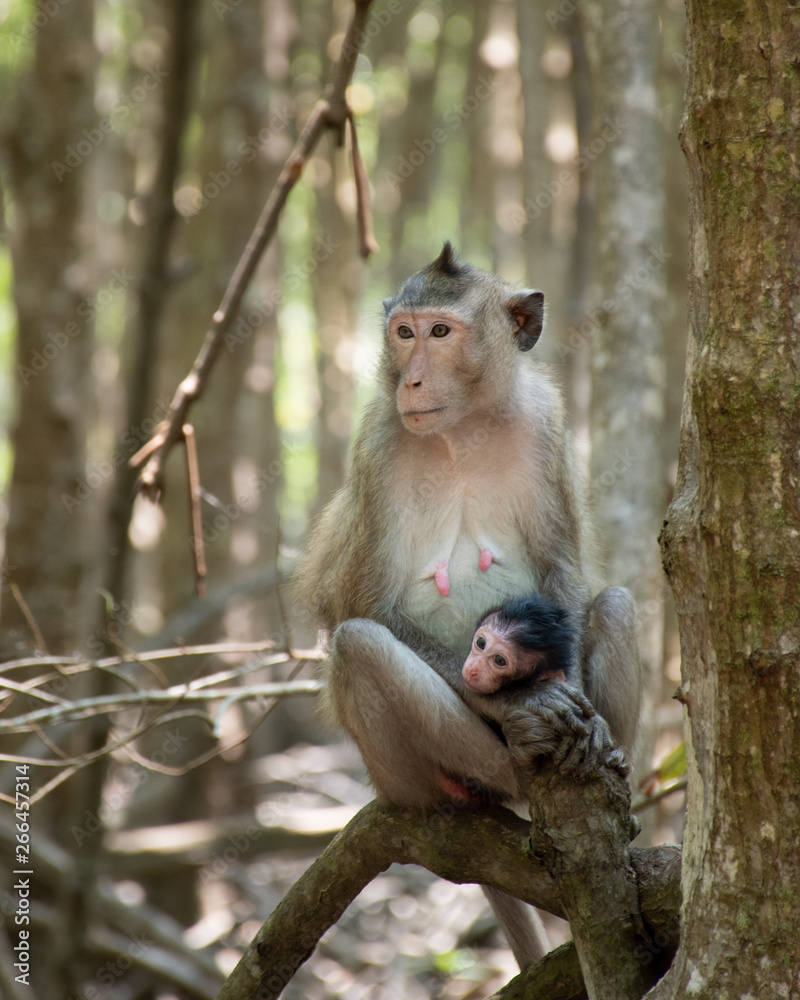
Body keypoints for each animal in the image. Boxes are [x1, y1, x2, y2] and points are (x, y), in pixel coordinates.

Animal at [295, 243, 641, 966]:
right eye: (404, 333)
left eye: (440, 332)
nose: (412, 381)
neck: (465, 428)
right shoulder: (376, 447)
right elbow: (363, 606)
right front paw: (522, 707)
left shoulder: (546, 424)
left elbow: (563, 574)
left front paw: (577, 710)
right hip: (398, 779)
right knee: (360, 645)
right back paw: (511, 759)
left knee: (618, 603)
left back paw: (610, 760)